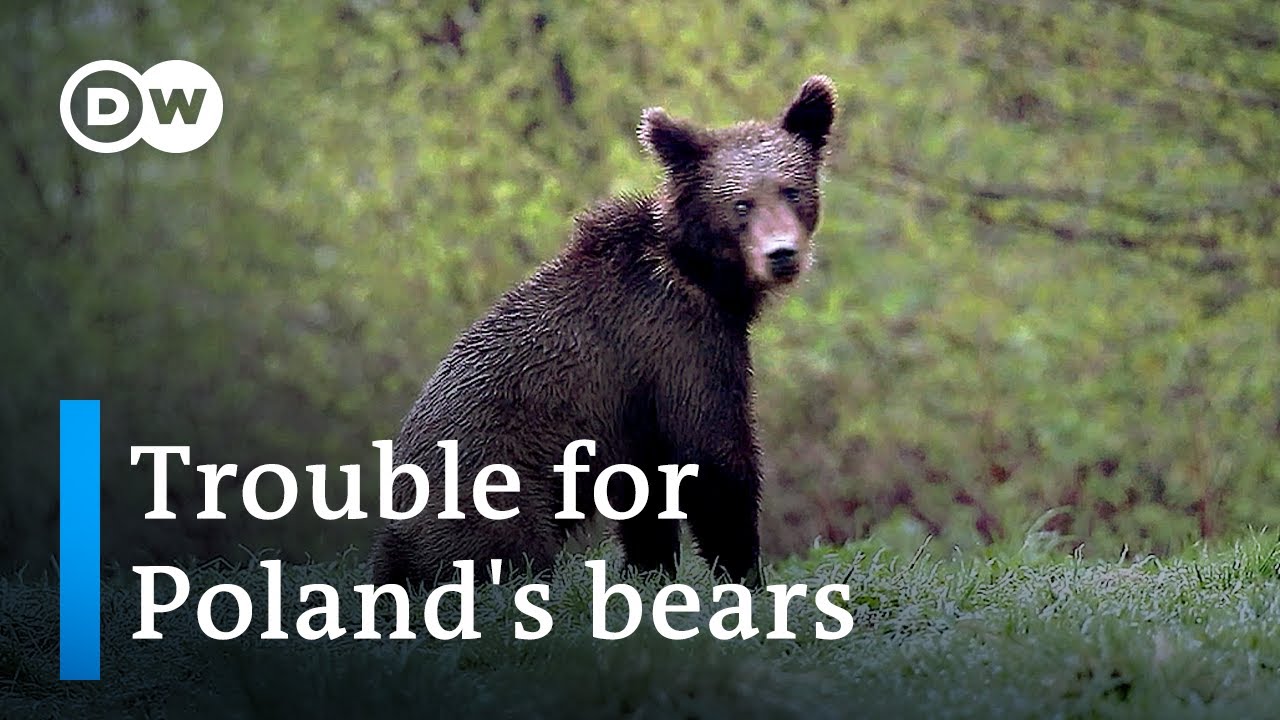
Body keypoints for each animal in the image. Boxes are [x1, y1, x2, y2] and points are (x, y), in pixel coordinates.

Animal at [370, 75, 837, 590]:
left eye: (792, 191)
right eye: (741, 204)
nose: (782, 255)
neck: (704, 279)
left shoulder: (640, 412)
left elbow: (647, 495)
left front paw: (648, 571)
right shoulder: (677, 344)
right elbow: (713, 460)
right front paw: (746, 574)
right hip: (492, 495)